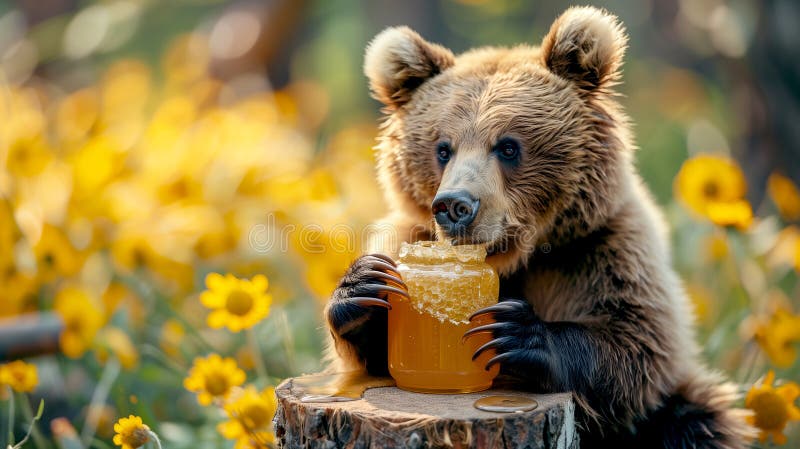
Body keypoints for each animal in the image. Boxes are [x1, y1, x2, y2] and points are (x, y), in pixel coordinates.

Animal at [325, 6, 753, 449]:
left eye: (508, 146)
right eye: (443, 149)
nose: (454, 206)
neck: (517, 255)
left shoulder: (602, 248)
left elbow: (638, 340)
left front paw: (514, 330)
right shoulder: (407, 235)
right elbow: (376, 351)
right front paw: (365, 287)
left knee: (695, 421)